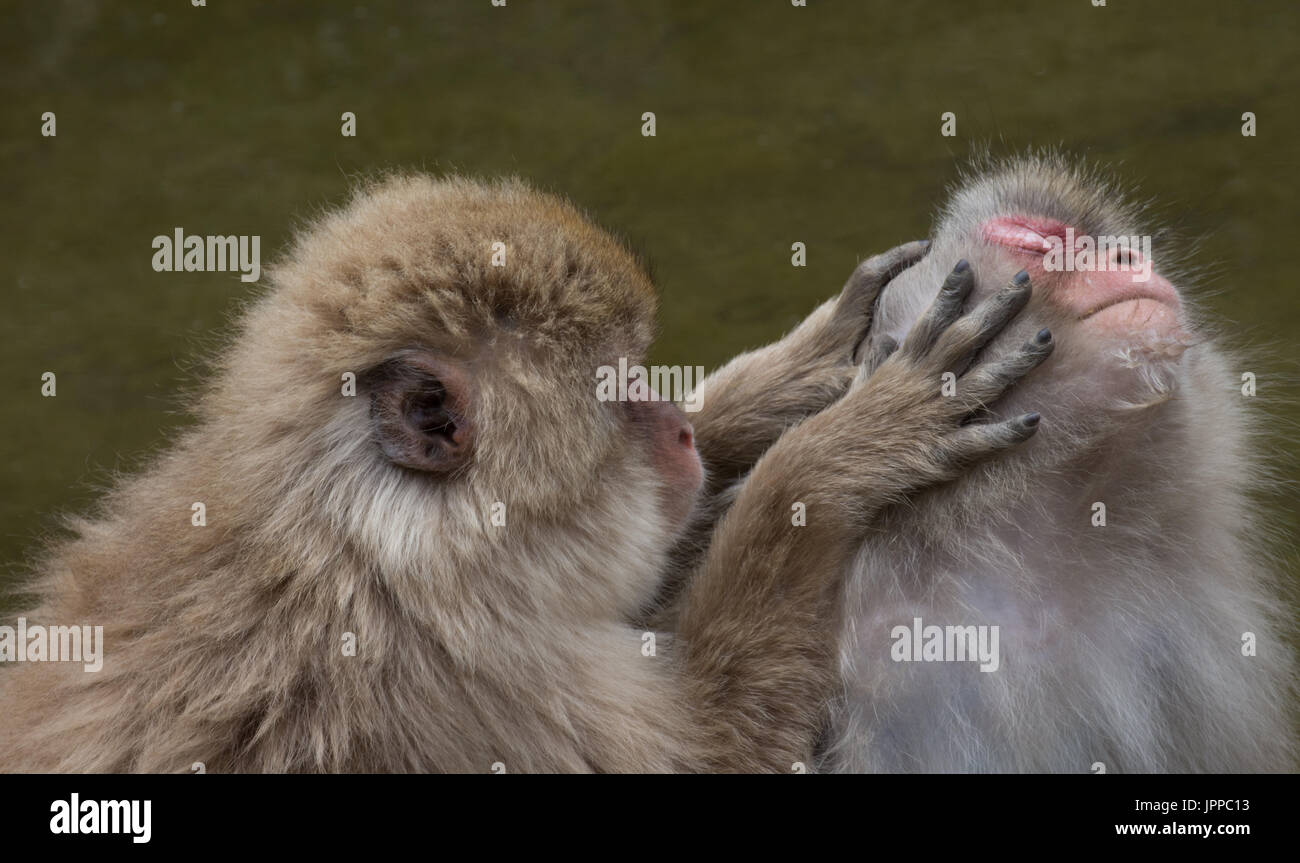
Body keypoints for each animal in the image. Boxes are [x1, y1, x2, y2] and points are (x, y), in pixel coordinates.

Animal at [0, 173, 1051, 773]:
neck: (367, 546)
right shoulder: (461, 685)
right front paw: (835, 459)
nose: (677, 430)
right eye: (616, 391)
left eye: (642, 374)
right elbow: (721, 755)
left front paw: (776, 389)